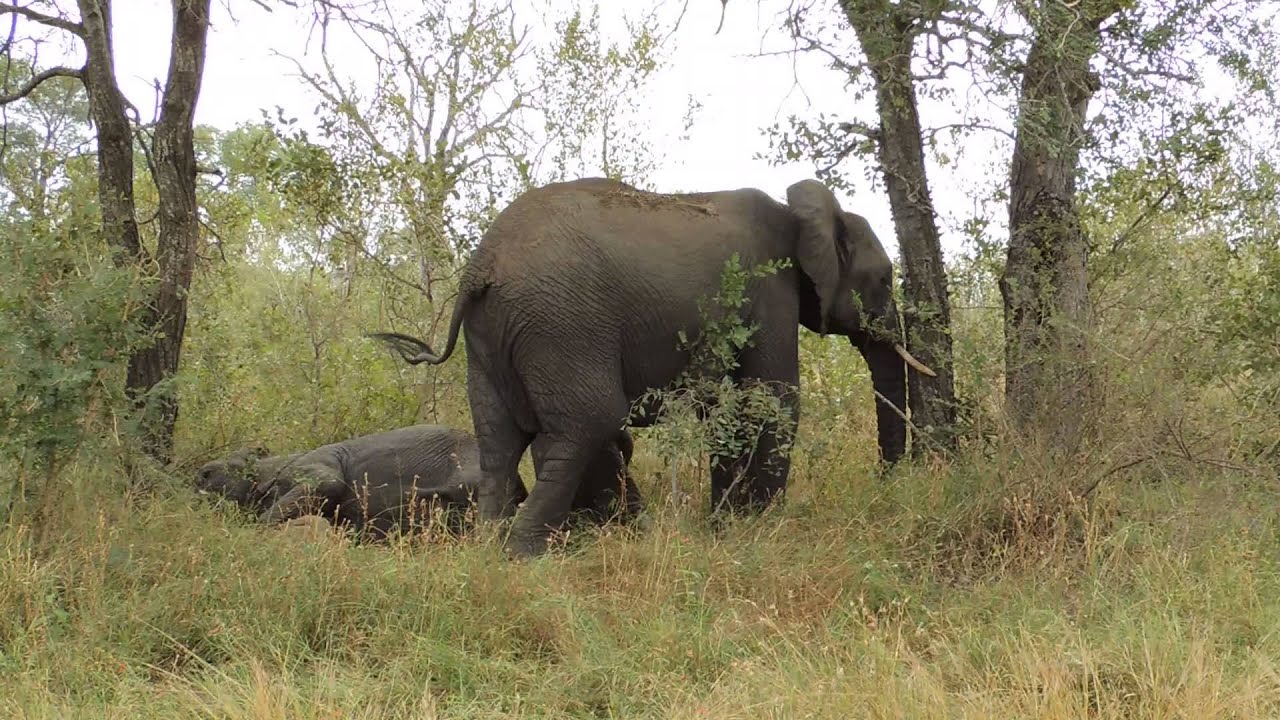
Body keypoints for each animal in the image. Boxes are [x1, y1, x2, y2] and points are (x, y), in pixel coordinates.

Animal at [370, 177, 935, 558]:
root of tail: (478, 268)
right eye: (884, 279)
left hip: (492, 335)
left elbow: (730, 410)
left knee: (499, 440)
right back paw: (526, 553)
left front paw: (726, 525)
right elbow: (771, 400)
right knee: (588, 424)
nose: (887, 481)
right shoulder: (768, 290)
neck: (797, 211)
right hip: (562, 322)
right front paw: (755, 528)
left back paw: (489, 546)